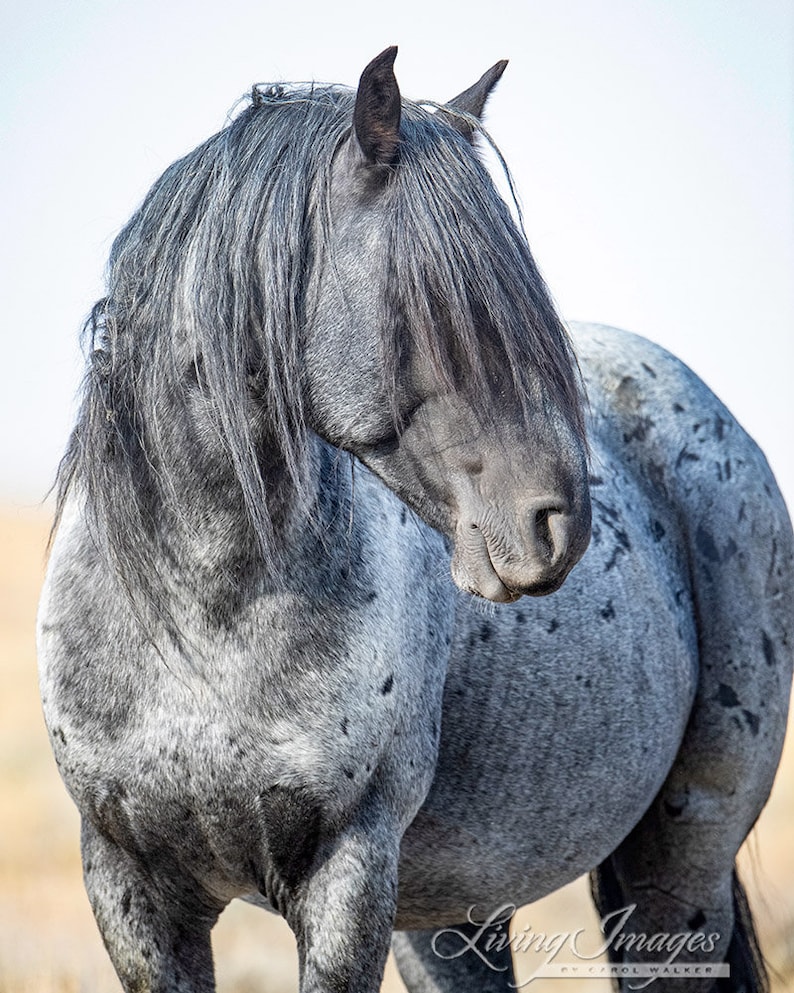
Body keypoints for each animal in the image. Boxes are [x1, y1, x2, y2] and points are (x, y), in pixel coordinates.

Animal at [37, 48, 792, 993]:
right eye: (435, 298)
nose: (560, 527)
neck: (201, 617)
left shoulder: (347, 875)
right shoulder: (131, 887)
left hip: (684, 851)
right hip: (452, 913)